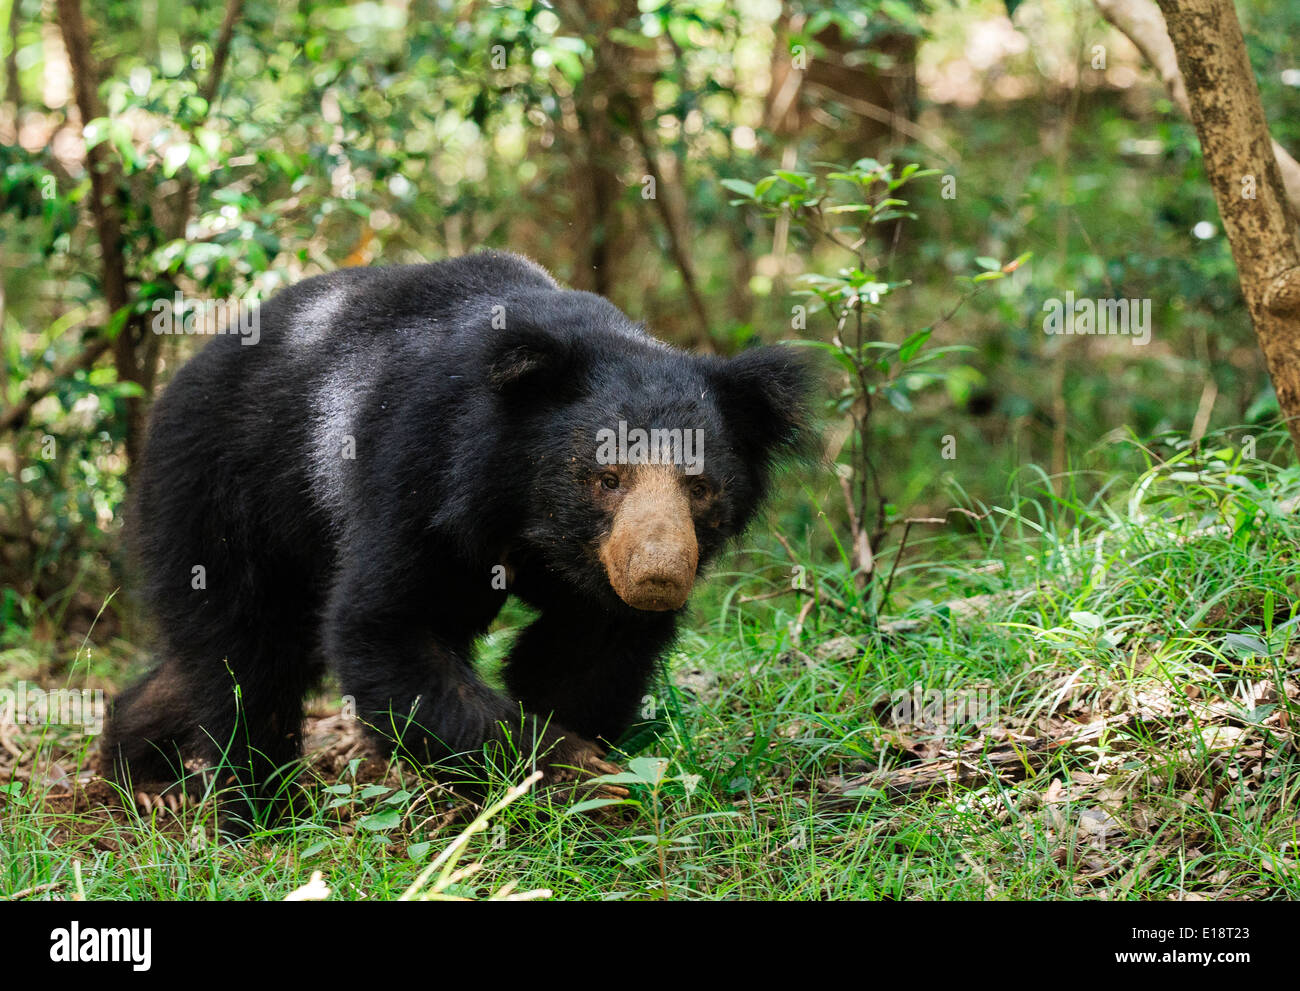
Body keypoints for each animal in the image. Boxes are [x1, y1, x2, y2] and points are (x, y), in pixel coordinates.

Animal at [101, 250, 812, 817]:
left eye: (700, 486)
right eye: (606, 478)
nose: (658, 575)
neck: (529, 515)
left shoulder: (591, 578)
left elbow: (587, 648)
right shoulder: (421, 472)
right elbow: (387, 629)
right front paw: (575, 771)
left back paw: (136, 768)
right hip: (223, 497)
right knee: (247, 652)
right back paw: (256, 805)